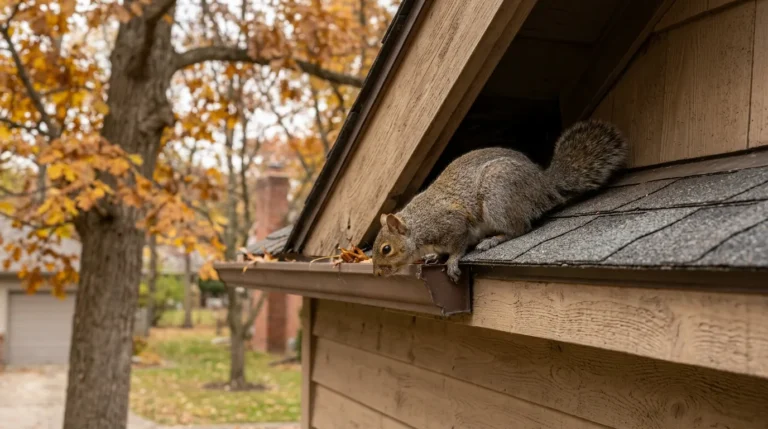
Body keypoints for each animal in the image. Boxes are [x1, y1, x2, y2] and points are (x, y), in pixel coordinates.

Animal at [371, 119, 628, 283]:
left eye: (386, 249)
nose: (377, 274)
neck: (417, 226)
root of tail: (544, 185)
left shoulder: (452, 224)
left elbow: (458, 245)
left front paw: (451, 262)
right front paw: (435, 256)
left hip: (499, 196)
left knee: (520, 228)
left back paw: (493, 240)